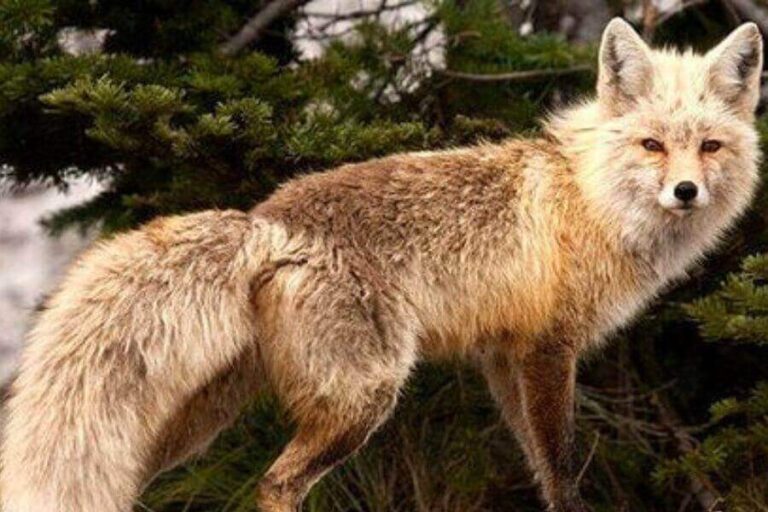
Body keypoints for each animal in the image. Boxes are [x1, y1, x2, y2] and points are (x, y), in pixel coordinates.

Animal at [0, 18, 763, 512]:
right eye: (652, 145)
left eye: (711, 147)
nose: (686, 192)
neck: (590, 196)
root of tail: (266, 218)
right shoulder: (550, 347)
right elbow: (564, 470)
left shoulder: (504, 356)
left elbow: (541, 470)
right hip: (364, 397)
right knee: (276, 484)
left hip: (198, 419)